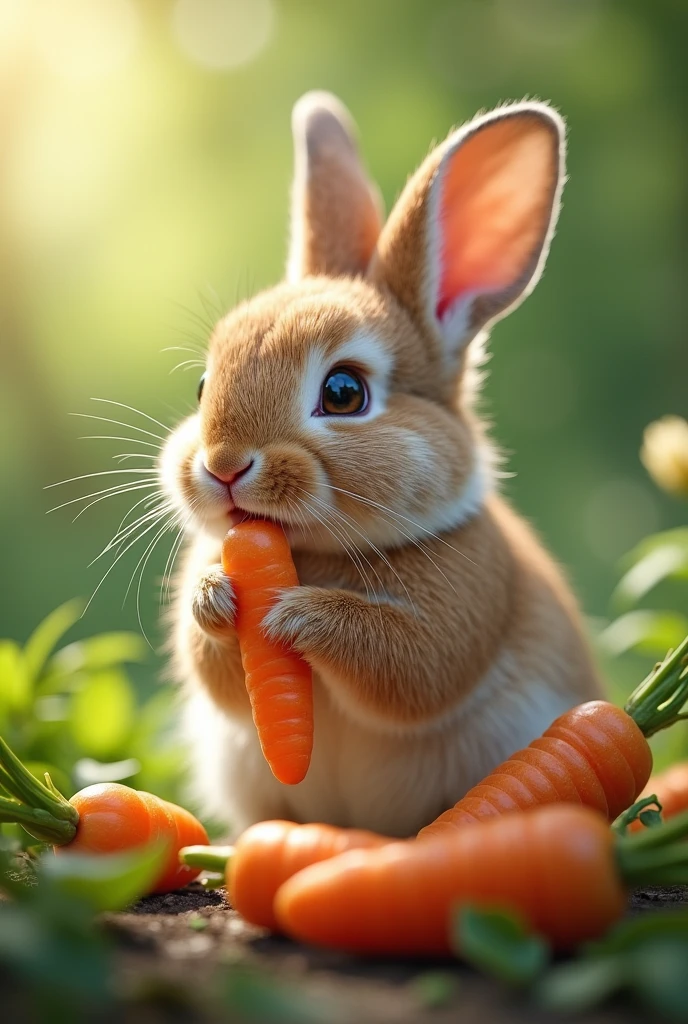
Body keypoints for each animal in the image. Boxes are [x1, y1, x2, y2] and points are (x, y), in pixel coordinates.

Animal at [161, 91, 603, 838]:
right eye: (201, 387)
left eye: (344, 393)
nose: (223, 466)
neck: (310, 553)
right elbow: (216, 670)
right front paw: (216, 595)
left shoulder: (456, 615)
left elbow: (404, 664)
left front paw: (296, 615)